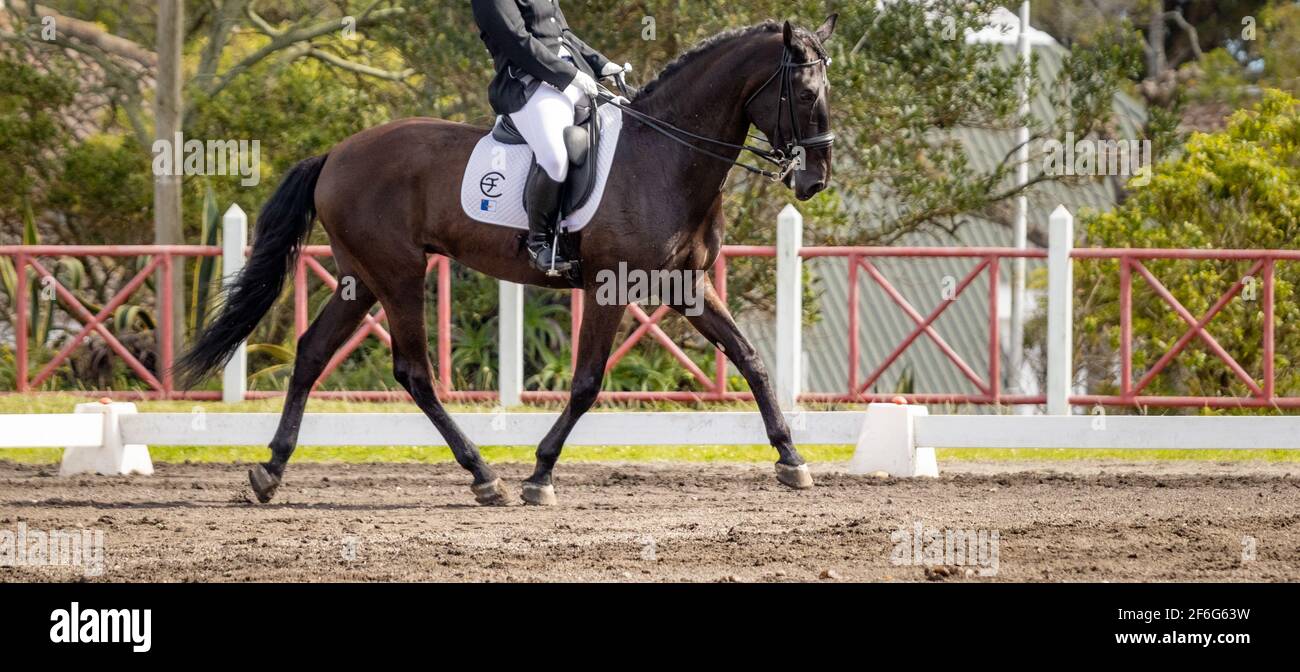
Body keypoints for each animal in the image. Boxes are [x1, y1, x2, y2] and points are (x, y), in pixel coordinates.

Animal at [175, 16, 838, 506]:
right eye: (805, 94)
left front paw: (791, 459)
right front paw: (540, 475)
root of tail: (336, 153)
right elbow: (587, 383)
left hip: (358, 278)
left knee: (312, 353)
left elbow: (751, 361)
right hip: (399, 275)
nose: (815, 181)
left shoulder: (684, 285)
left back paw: (270, 471)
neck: (666, 157)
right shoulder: (611, 286)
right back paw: (484, 475)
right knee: (414, 373)